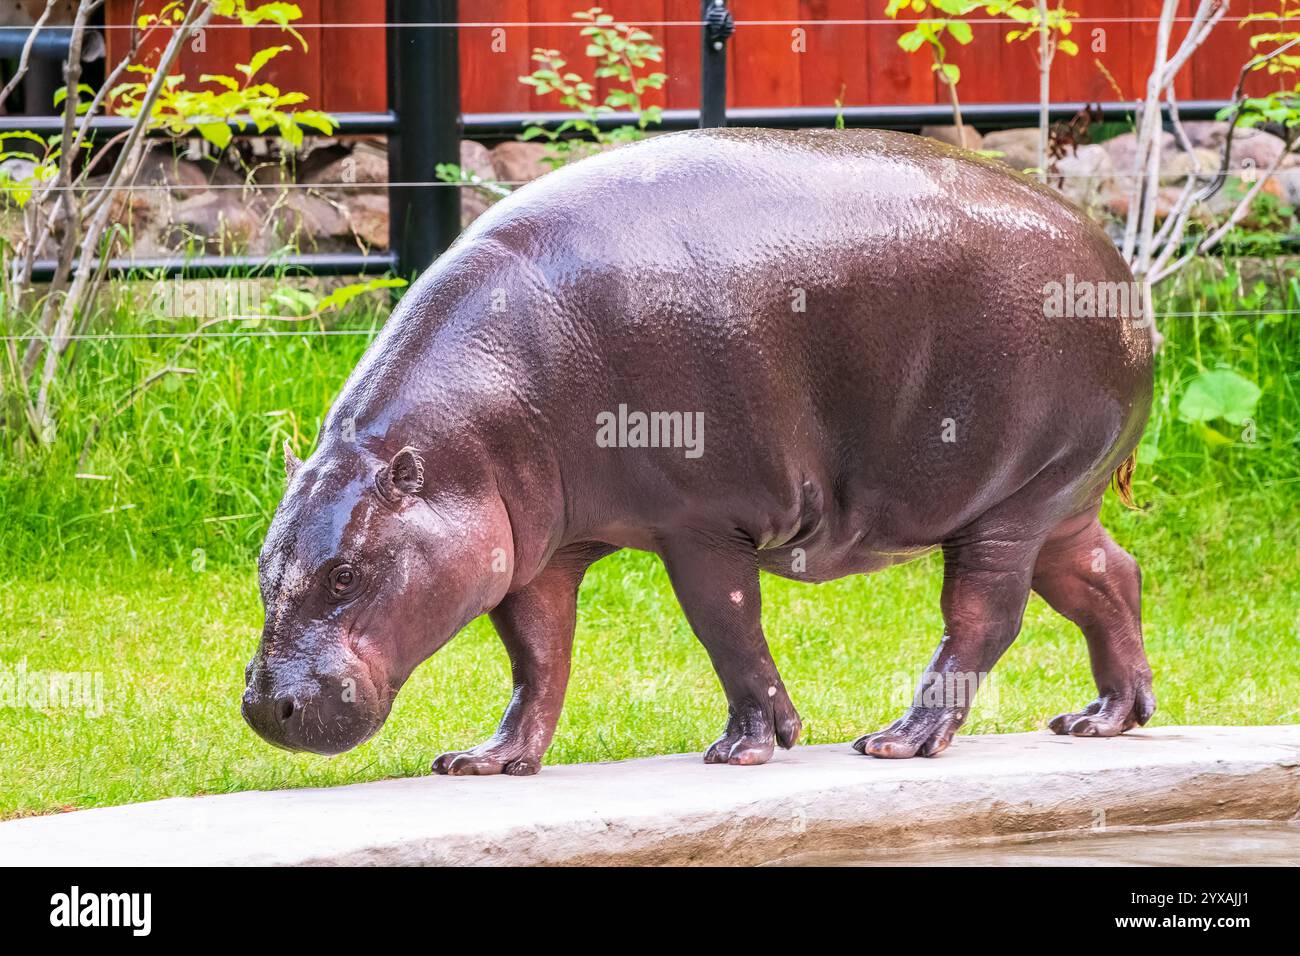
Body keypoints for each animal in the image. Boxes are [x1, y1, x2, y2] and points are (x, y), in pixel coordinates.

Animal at [242, 128, 1155, 774]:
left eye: (345, 574)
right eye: (261, 566)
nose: (261, 708)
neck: (465, 437)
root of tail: (1118, 271)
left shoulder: (703, 523)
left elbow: (727, 627)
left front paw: (749, 748)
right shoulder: (532, 551)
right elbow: (536, 655)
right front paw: (486, 761)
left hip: (1010, 502)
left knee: (983, 618)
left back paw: (899, 738)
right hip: (1056, 498)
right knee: (1110, 575)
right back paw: (1103, 720)